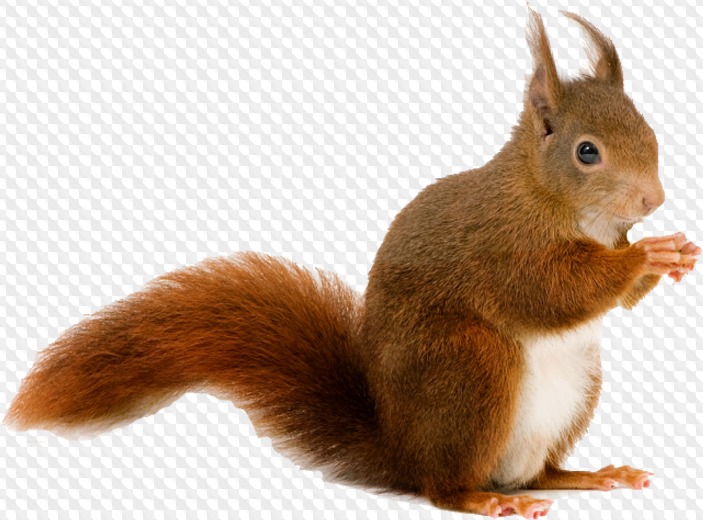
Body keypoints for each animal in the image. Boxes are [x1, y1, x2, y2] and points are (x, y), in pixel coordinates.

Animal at [6, 10, 701, 519]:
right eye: (587, 152)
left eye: (648, 128)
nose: (654, 200)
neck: (558, 203)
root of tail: (401, 450)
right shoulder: (502, 245)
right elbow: (549, 291)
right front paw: (646, 252)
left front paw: (674, 252)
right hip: (469, 367)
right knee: (443, 487)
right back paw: (483, 498)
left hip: (576, 387)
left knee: (540, 472)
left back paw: (585, 474)